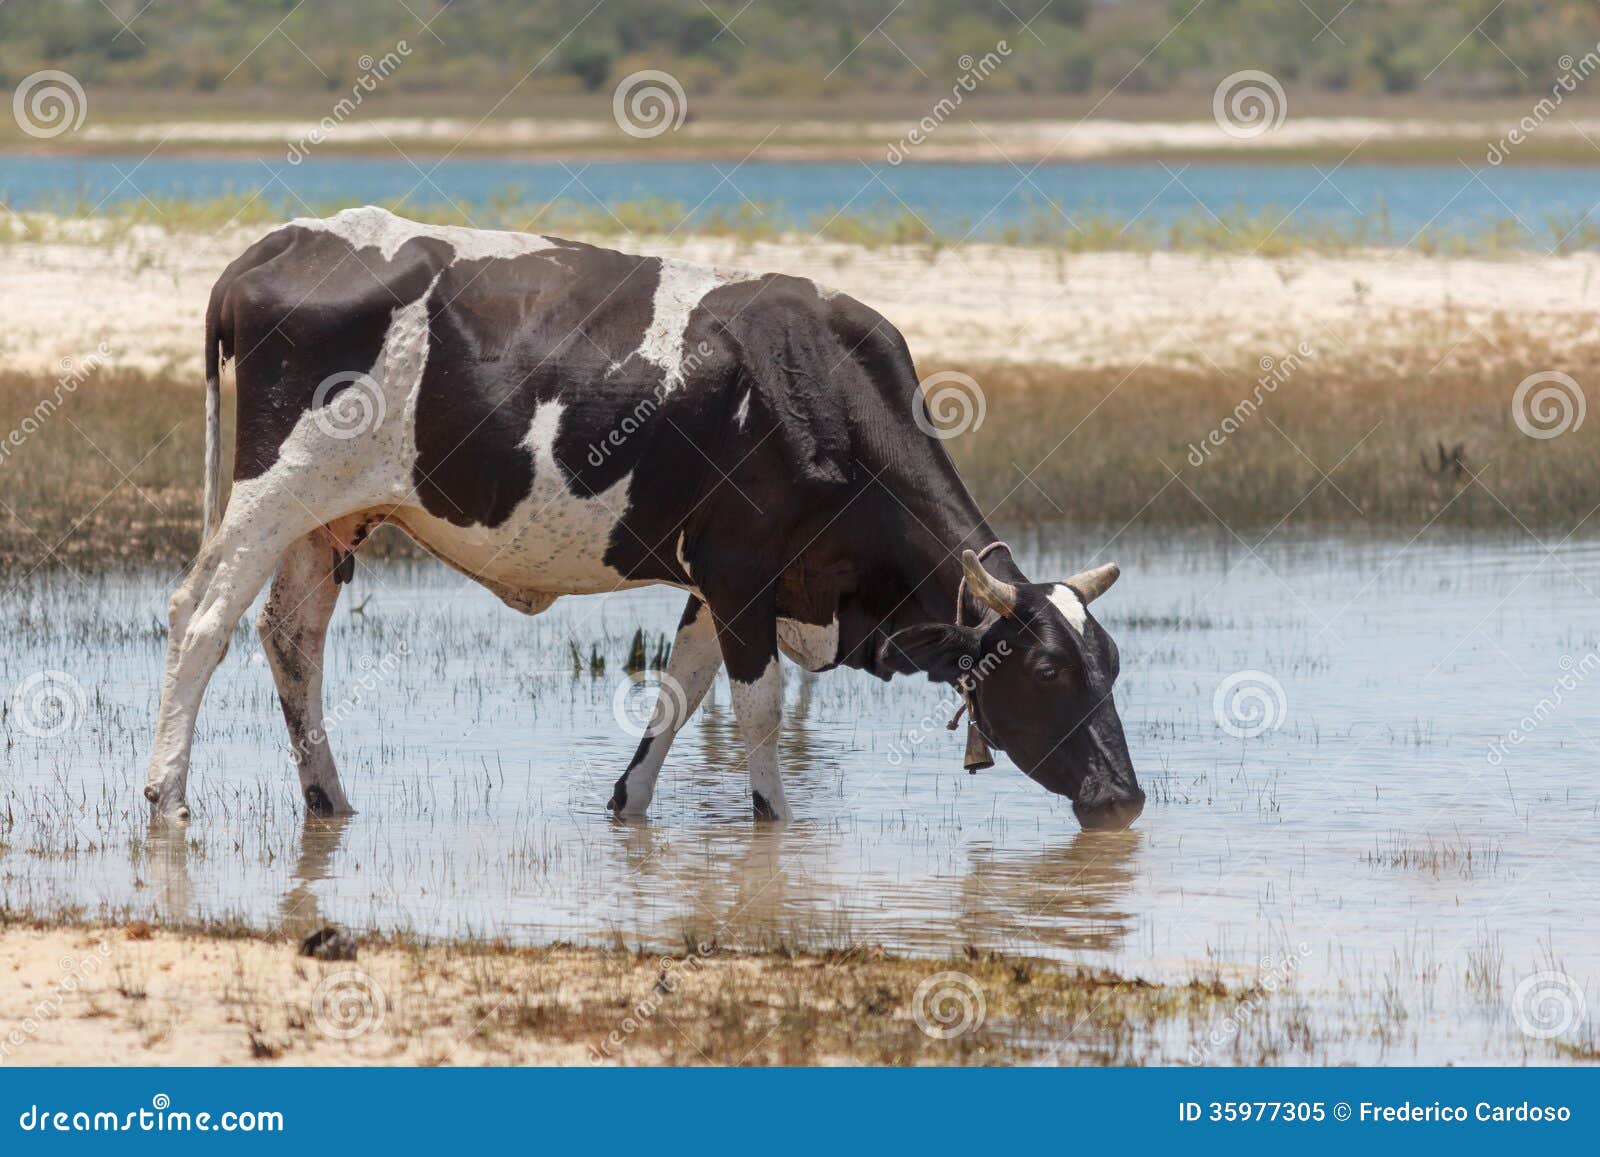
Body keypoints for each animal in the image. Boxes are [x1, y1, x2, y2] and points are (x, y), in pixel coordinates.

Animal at [144, 206, 1144, 830]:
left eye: (1111, 664)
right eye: (1048, 669)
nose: (1125, 798)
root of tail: (279, 245)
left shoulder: (717, 577)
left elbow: (678, 693)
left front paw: (629, 808)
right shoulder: (742, 572)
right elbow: (755, 710)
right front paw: (776, 827)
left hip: (332, 516)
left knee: (292, 637)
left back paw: (331, 801)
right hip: (271, 494)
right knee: (200, 619)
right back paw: (168, 796)